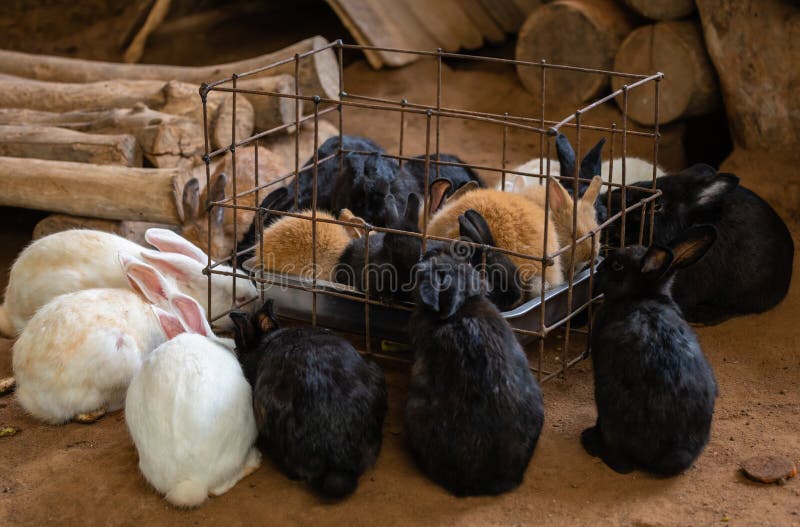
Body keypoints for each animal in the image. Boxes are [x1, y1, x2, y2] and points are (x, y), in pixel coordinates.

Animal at [583, 225, 718, 475]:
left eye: (617, 266)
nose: (599, 266)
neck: (640, 296)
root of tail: (668, 454)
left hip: (606, 398)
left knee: (621, 464)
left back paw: (590, 441)